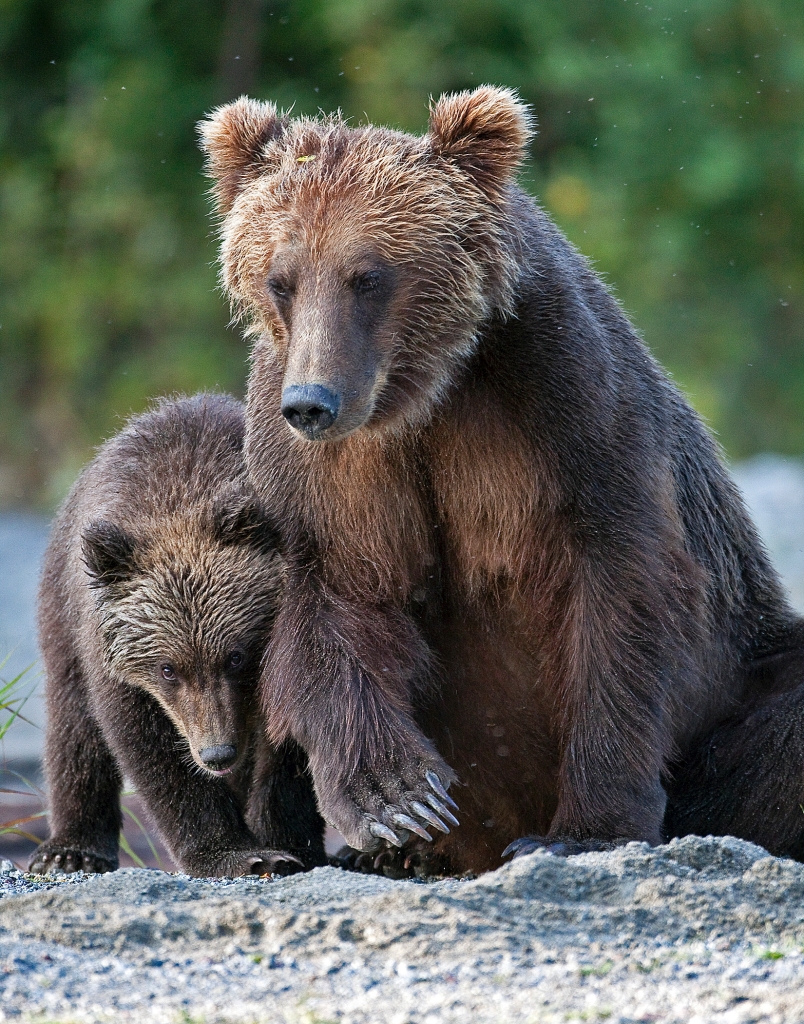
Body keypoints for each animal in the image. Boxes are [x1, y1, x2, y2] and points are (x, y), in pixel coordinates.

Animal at [30, 393, 326, 877]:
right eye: (168, 669)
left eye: (236, 656)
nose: (217, 753)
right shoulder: (119, 662)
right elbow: (154, 752)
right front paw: (237, 853)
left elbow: (292, 745)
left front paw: (287, 844)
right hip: (62, 612)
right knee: (74, 724)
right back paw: (70, 848)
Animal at [199, 87, 804, 875]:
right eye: (281, 280)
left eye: (369, 276)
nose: (312, 401)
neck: (426, 393)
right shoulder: (326, 472)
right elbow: (340, 597)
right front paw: (397, 801)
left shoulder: (568, 402)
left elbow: (622, 594)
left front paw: (586, 827)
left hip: (746, 667)